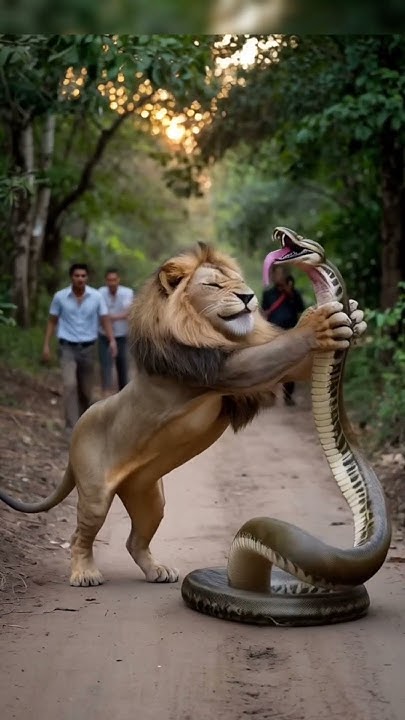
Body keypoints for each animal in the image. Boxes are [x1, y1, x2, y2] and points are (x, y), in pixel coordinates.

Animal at [0, 242, 362, 587]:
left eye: (240, 282)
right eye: (214, 285)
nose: (248, 297)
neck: (208, 329)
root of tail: (77, 430)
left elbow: (286, 361)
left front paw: (355, 319)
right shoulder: (218, 369)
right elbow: (274, 350)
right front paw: (313, 325)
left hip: (148, 497)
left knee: (135, 540)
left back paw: (157, 570)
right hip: (95, 494)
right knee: (79, 536)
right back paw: (84, 574)